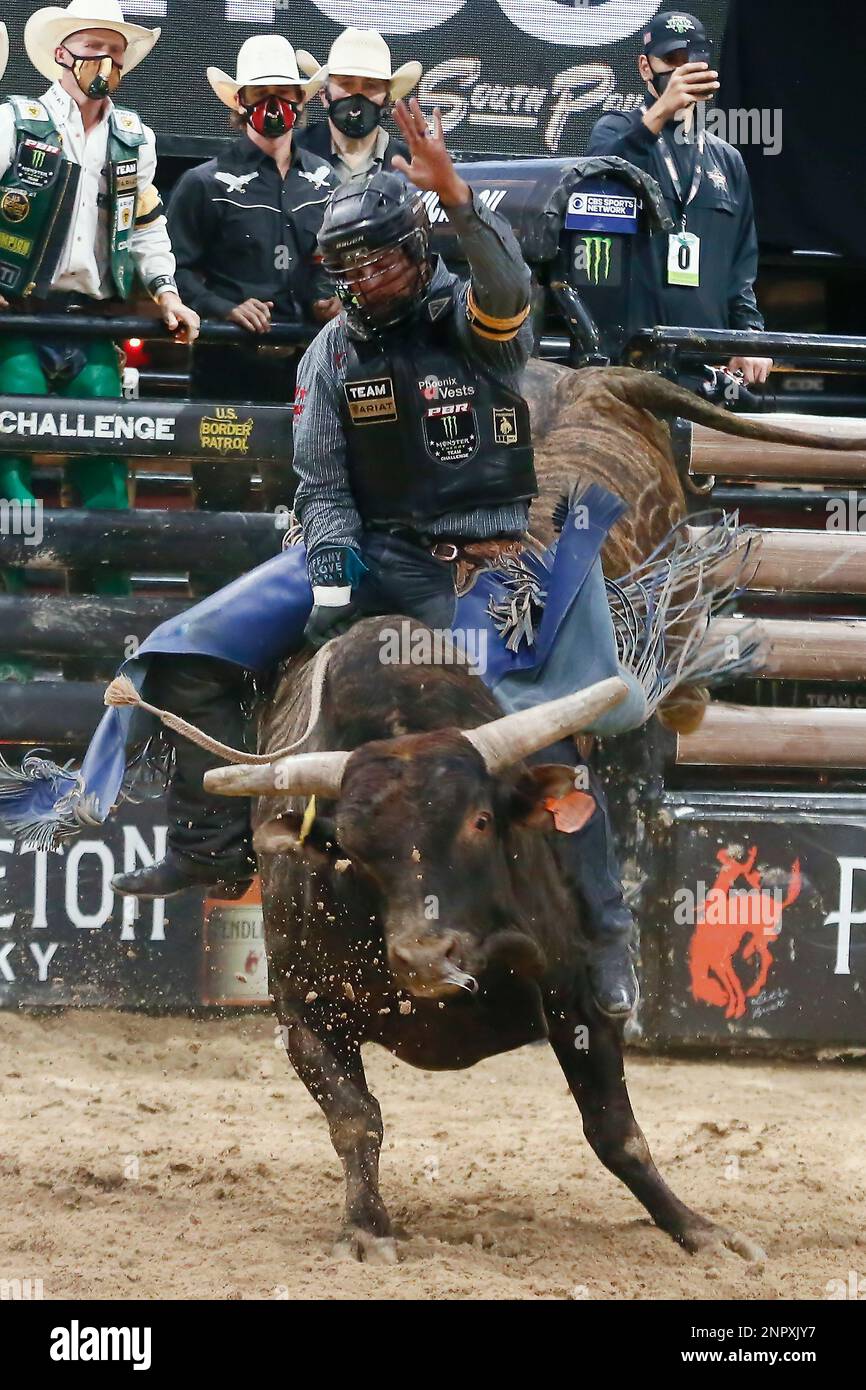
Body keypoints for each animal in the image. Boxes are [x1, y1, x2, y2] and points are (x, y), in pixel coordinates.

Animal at [201, 619, 756, 1262]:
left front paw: (696, 1228)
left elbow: (616, 1129)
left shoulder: (576, 997)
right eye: (351, 846)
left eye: (481, 821)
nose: (424, 957)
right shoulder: (303, 1015)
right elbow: (355, 1119)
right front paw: (366, 1228)